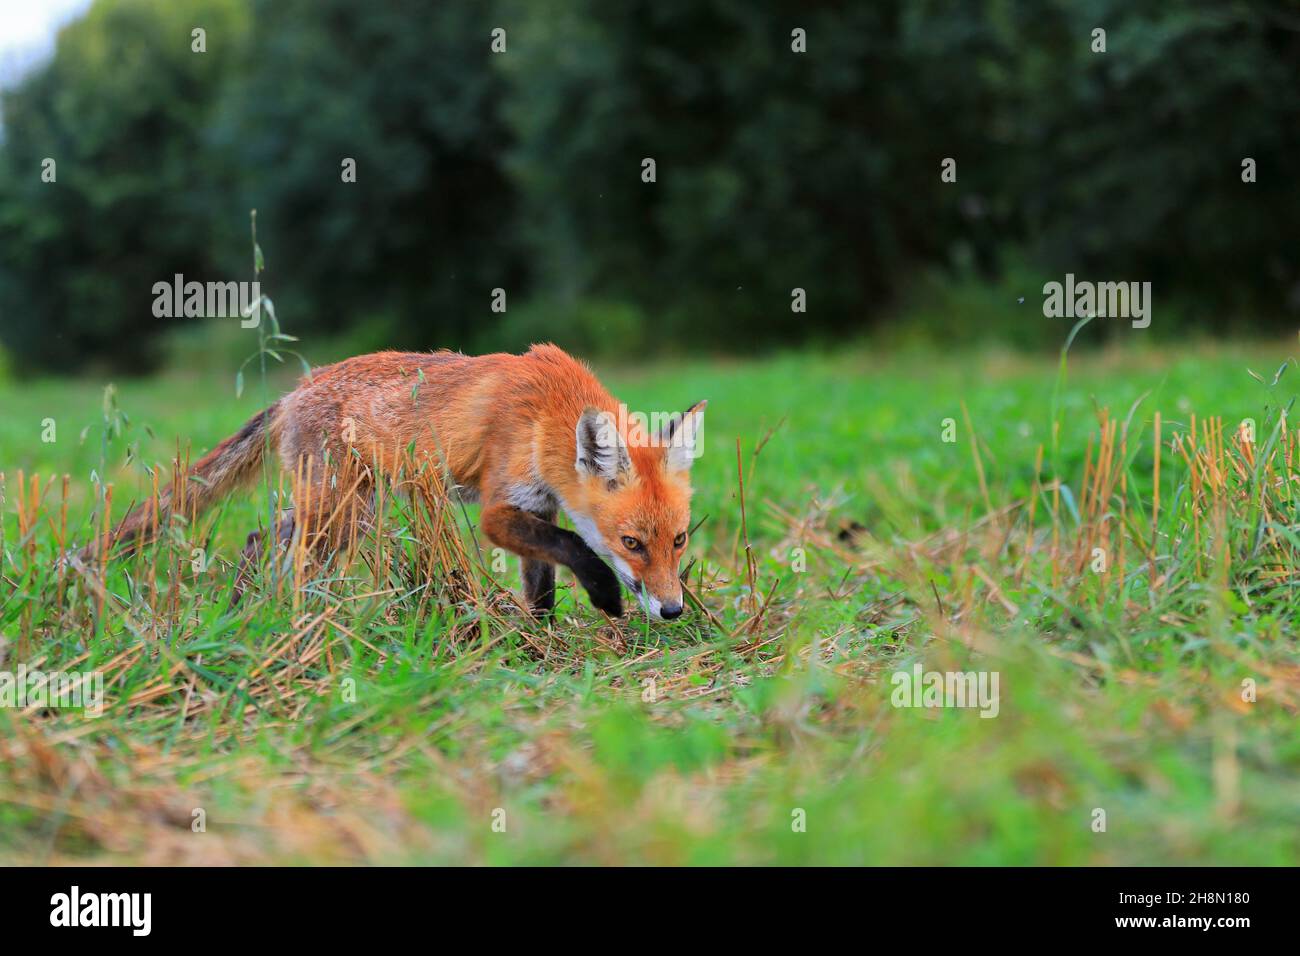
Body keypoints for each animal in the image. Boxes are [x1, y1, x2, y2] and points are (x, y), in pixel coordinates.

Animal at [103, 344, 706, 620]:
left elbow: (543, 584)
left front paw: (543, 639)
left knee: (257, 541)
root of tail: (296, 390)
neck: (547, 411)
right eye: (631, 544)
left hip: (343, 511)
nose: (673, 610)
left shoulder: (538, 507)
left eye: (678, 540)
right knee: (283, 556)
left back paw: (242, 614)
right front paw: (604, 594)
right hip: (338, 516)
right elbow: (575, 547)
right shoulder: (499, 510)